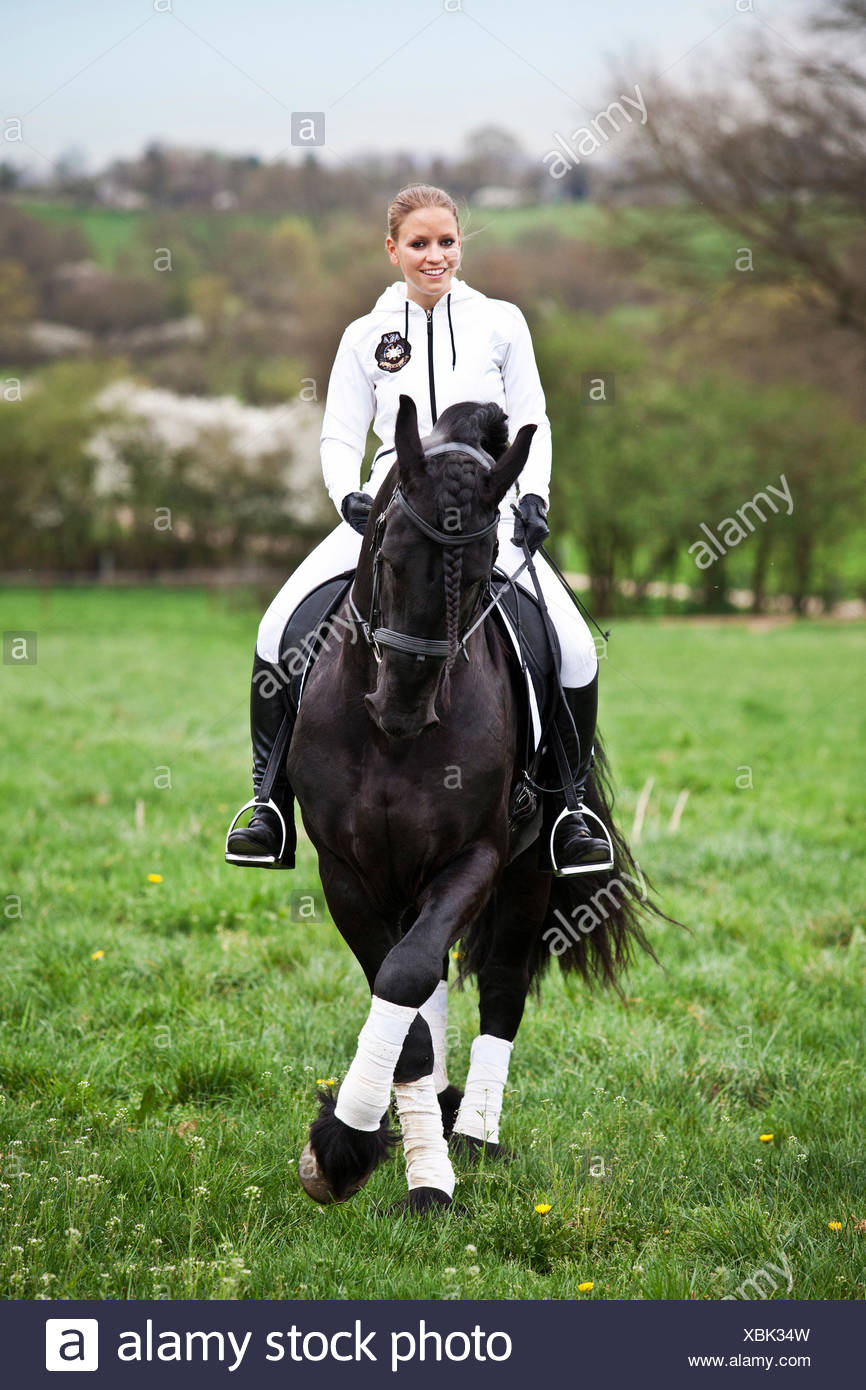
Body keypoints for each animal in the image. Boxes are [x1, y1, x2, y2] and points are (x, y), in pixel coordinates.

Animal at [287, 393, 658, 1214]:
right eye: (387, 555)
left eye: (488, 569)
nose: (402, 708)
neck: (389, 743)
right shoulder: (345, 870)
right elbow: (405, 1003)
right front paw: (381, 1152)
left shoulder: (477, 856)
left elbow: (405, 977)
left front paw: (350, 1144)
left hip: (528, 871)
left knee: (502, 985)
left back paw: (475, 1135)